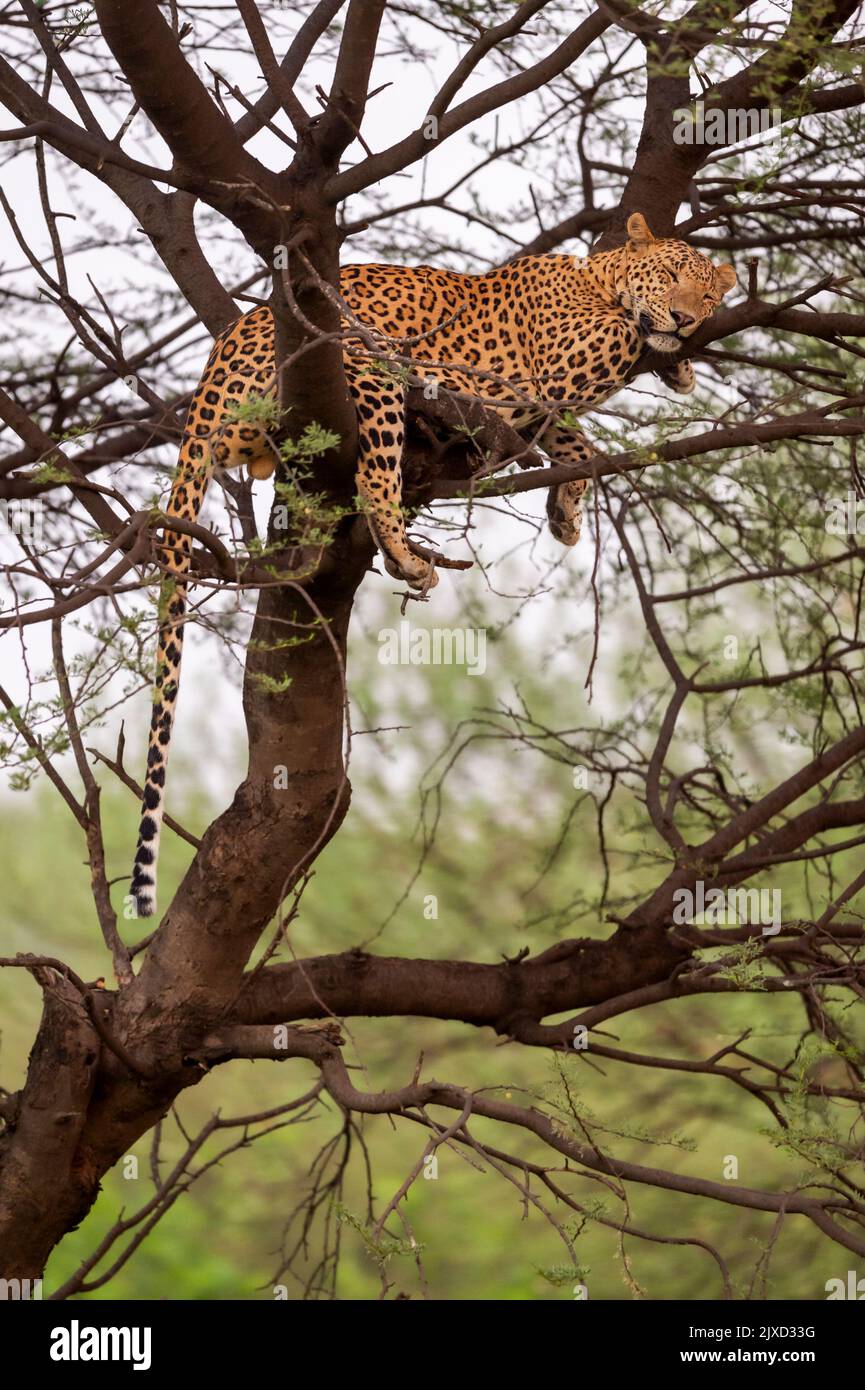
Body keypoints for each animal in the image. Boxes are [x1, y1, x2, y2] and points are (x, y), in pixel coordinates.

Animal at [130, 211, 736, 917]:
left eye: (709, 296)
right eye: (669, 277)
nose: (687, 319)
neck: (598, 278)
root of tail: (213, 368)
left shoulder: (542, 407)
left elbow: (575, 445)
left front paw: (566, 510)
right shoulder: (559, 366)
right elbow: (604, 365)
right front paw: (669, 355)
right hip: (370, 373)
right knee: (373, 477)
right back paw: (407, 553)